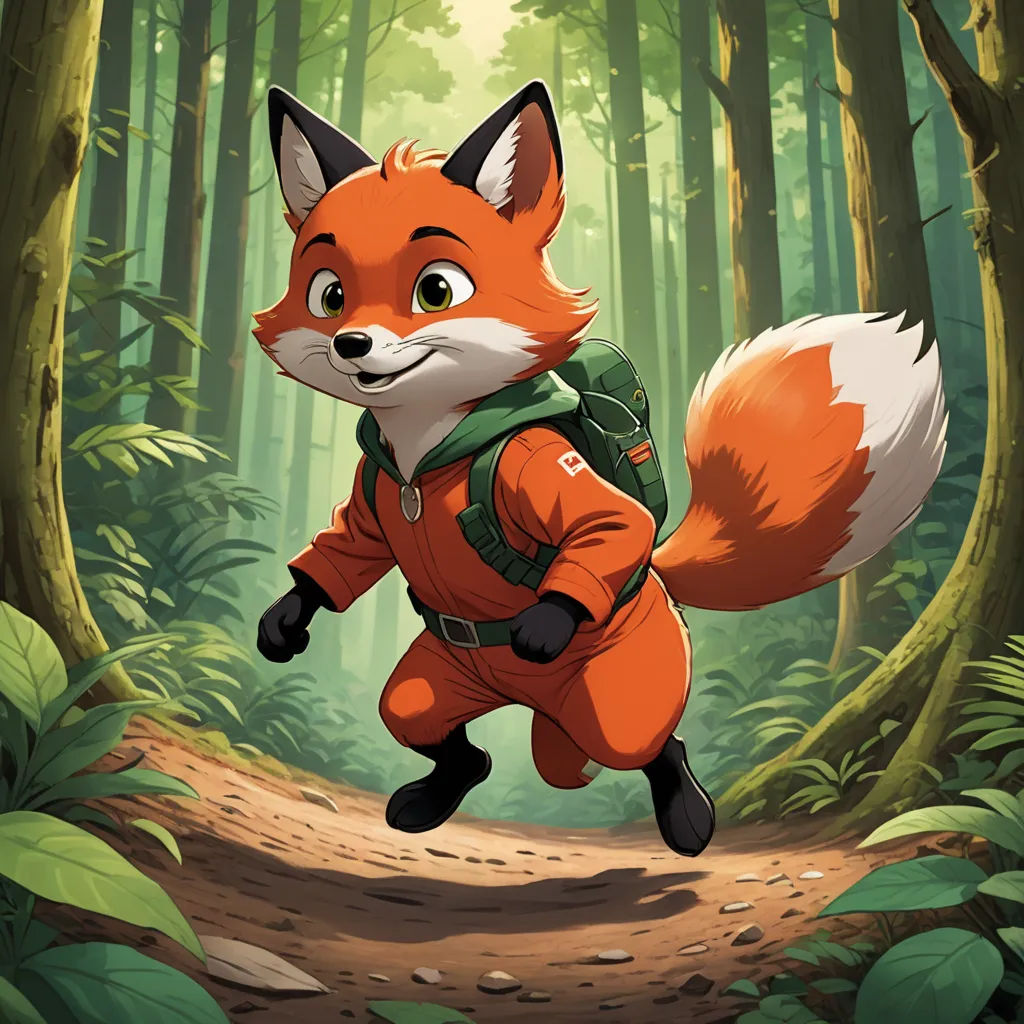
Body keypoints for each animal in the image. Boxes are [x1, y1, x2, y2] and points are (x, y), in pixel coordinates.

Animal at [254, 80, 947, 857]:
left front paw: (546, 621)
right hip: (446, 673)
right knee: (425, 720)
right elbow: (347, 547)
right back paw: (443, 786)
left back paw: (686, 810)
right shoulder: (374, 495)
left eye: (436, 290)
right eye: (329, 295)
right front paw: (286, 617)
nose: (351, 343)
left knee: (642, 741)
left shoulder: (532, 465)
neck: (423, 455)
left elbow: (612, 523)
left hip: (619, 690)